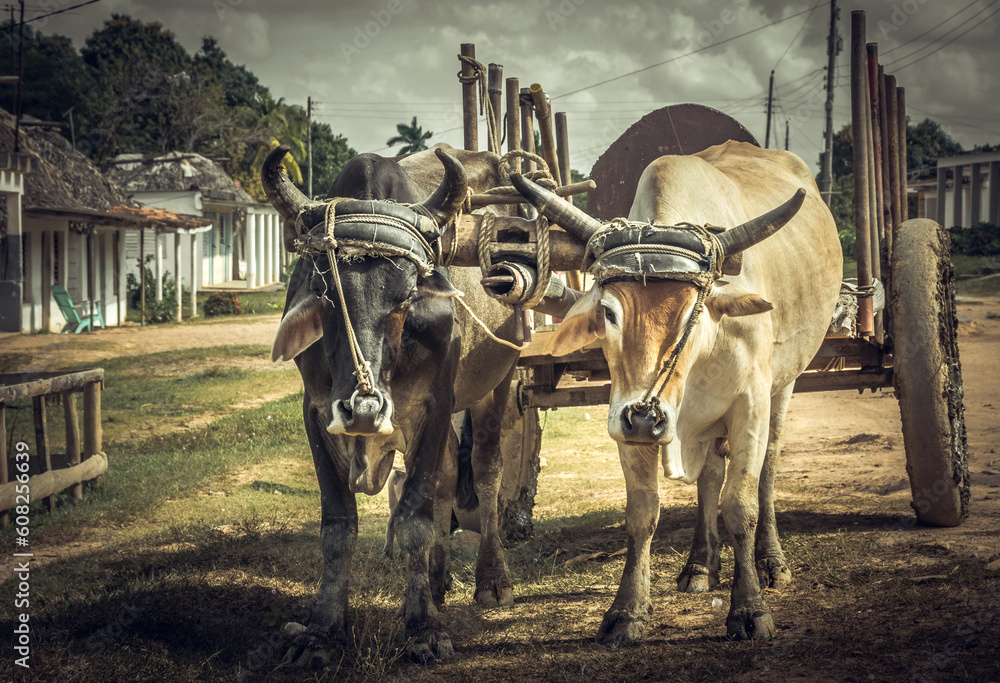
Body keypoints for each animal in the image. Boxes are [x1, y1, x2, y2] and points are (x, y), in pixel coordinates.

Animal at [261, 144, 523, 667]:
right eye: (323, 291)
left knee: (486, 470)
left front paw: (424, 630)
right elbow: (338, 525)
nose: (362, 410)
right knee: (449, 477)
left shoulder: (436, 407)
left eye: (405, 297)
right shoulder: (316, 413)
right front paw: (322, 631)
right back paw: (437, 582)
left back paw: (491, 581)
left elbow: (414, 516)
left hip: (496, 385)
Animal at [512, 141, 843, 643]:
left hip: (784, 387)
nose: (647, 417)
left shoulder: (750, 406)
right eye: (609, 312)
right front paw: (627, 611)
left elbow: (740, 505)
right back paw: (700, 566)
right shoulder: (624, 418)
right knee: (708, 476)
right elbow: (643, 512)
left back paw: (771, 562)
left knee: (767, 469)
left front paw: (749, 609)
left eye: (695, 311)